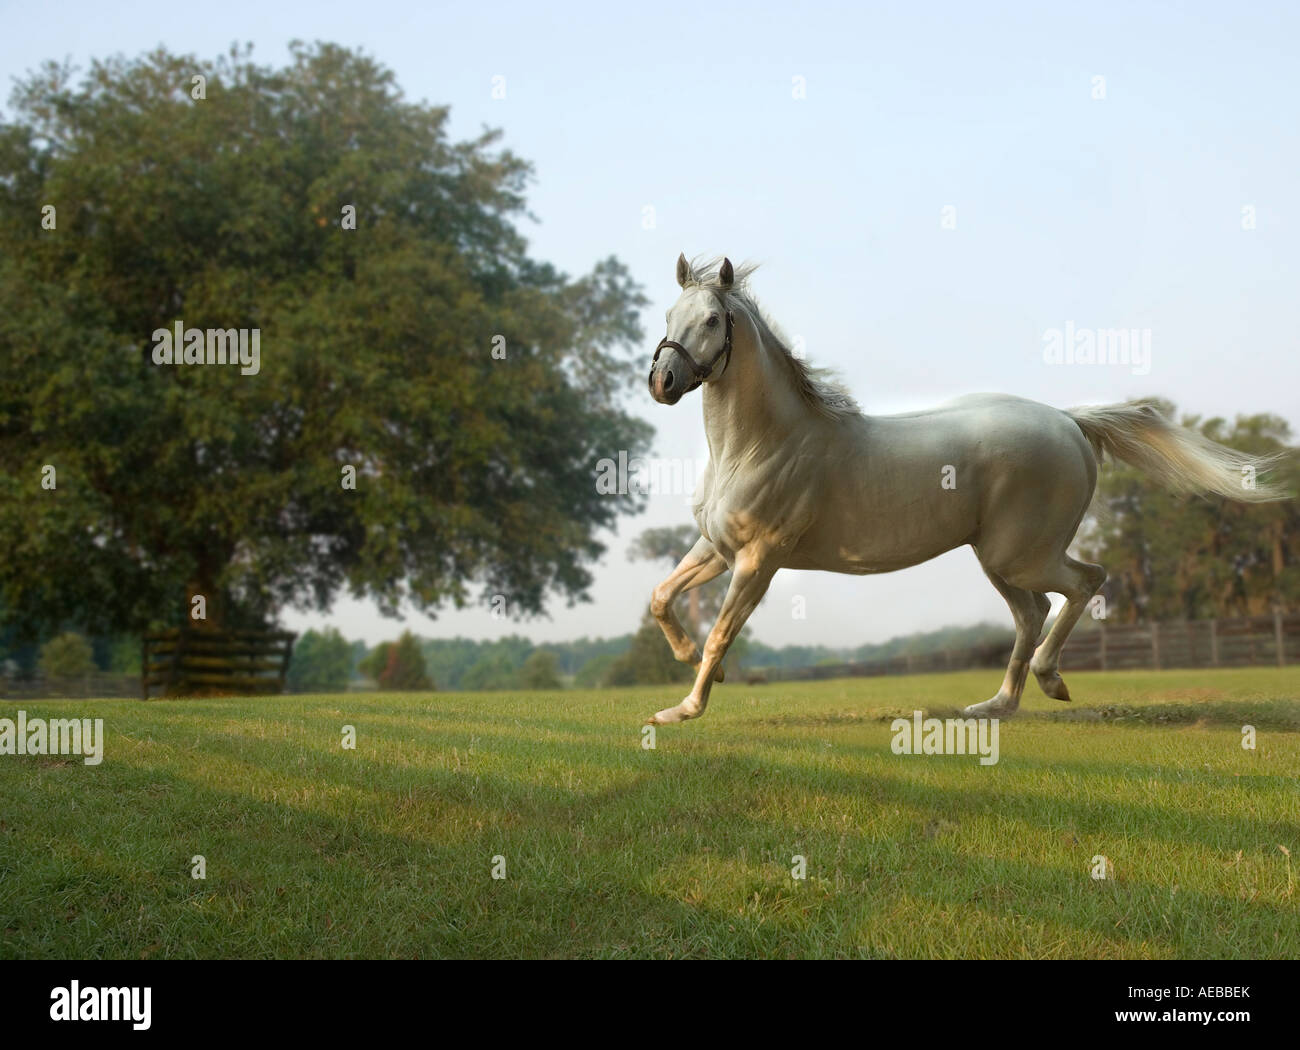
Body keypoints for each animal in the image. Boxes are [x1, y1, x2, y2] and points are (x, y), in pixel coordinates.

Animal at [643, 254, 1284, 726]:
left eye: (712, 320)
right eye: (669, 314)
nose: (663, 381)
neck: (761, 444)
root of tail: (1068, 420)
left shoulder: (759, 560)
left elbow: (721, 631)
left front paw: (681, 709)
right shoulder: (717, 548)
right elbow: (662, 598)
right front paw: (691, 664)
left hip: (1019, 554)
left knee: (1084, 584)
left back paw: (1050, 681)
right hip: (998, 557)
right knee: (1033, 612)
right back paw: (996, 705)